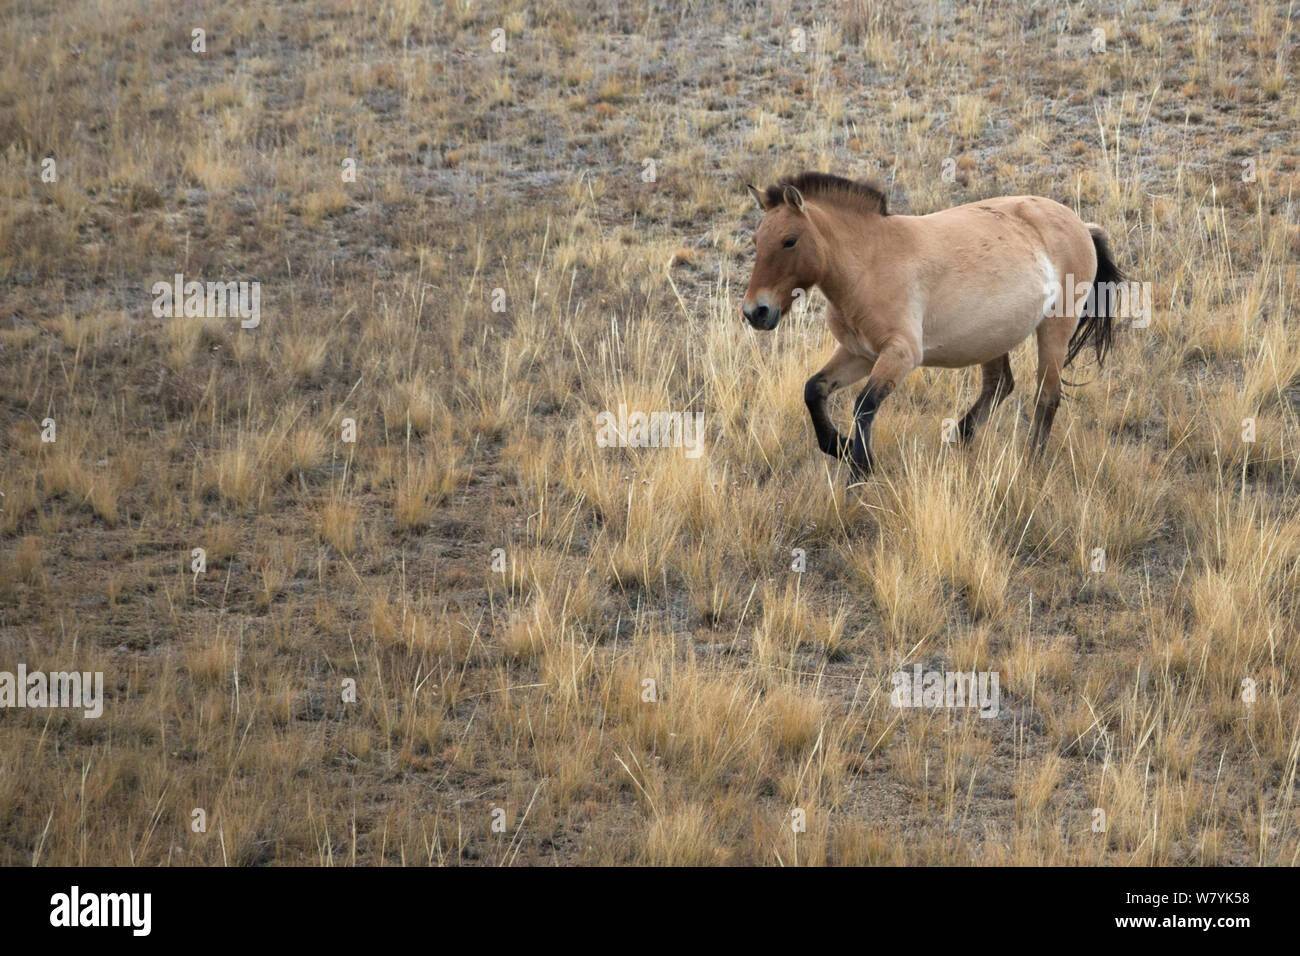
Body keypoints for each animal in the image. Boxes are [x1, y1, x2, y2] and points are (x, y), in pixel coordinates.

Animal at [740, 172, 1122, 480]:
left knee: (1047, 396)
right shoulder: (857, 354)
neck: (870, 263)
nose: (755, 312)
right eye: (757, 241)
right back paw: (960, 438)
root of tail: (1081, 225)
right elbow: (814, 390)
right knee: (1000, 385)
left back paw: (1030, 465)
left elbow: (864, 405)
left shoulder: (900, 355)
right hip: (991, 337)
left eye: (789, 240)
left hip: (1055, 328)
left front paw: (859, 472)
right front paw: (842, 448)